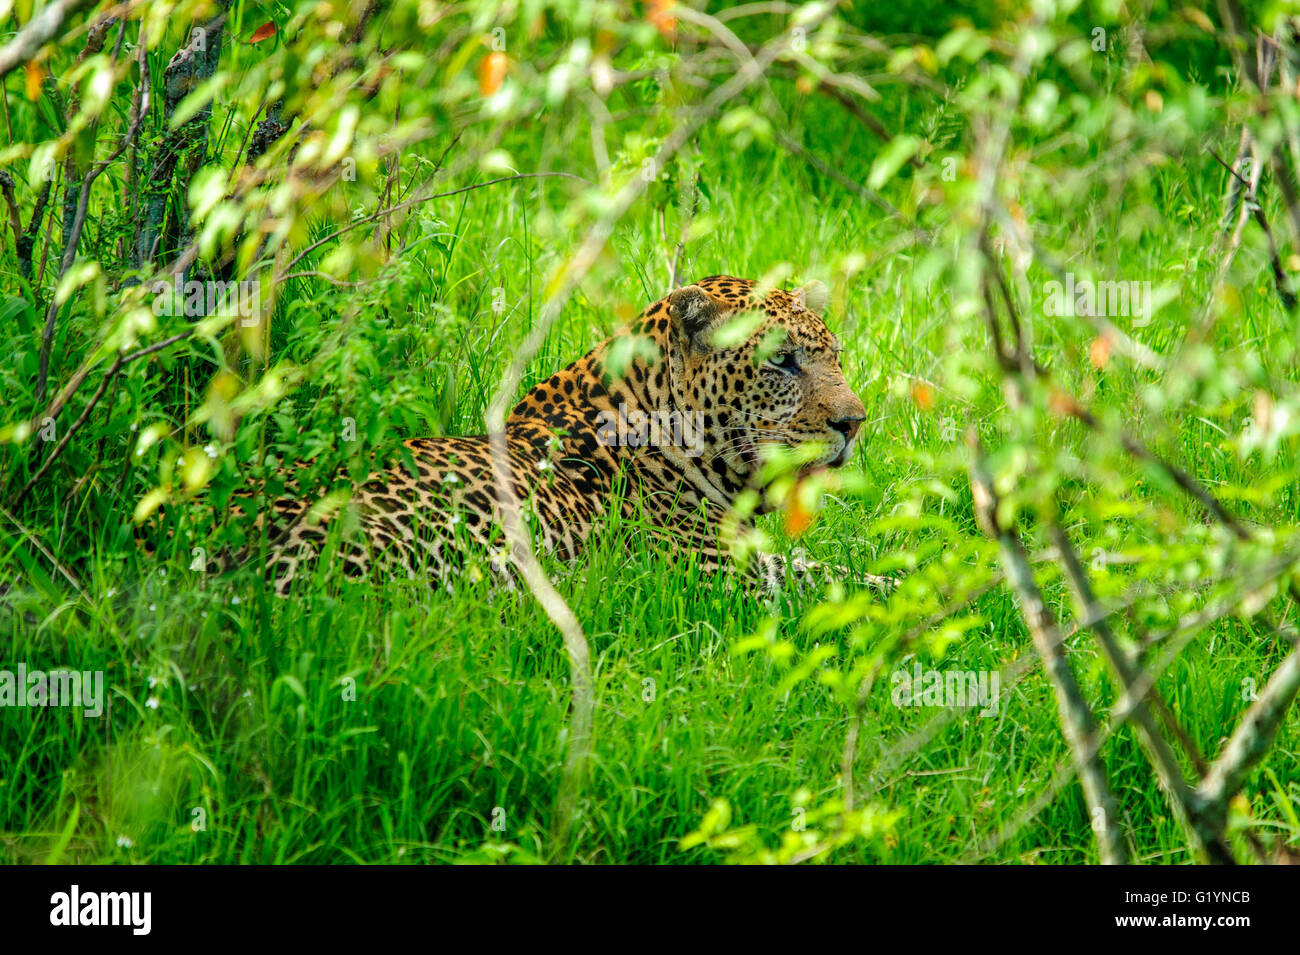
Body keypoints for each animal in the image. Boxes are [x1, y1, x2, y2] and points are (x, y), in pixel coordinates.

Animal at [257, 275, 890, 596]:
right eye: (781, 361)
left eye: (834, 357)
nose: (854, 422)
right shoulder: (721, 580)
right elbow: (827, 594)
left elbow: (838, 574)